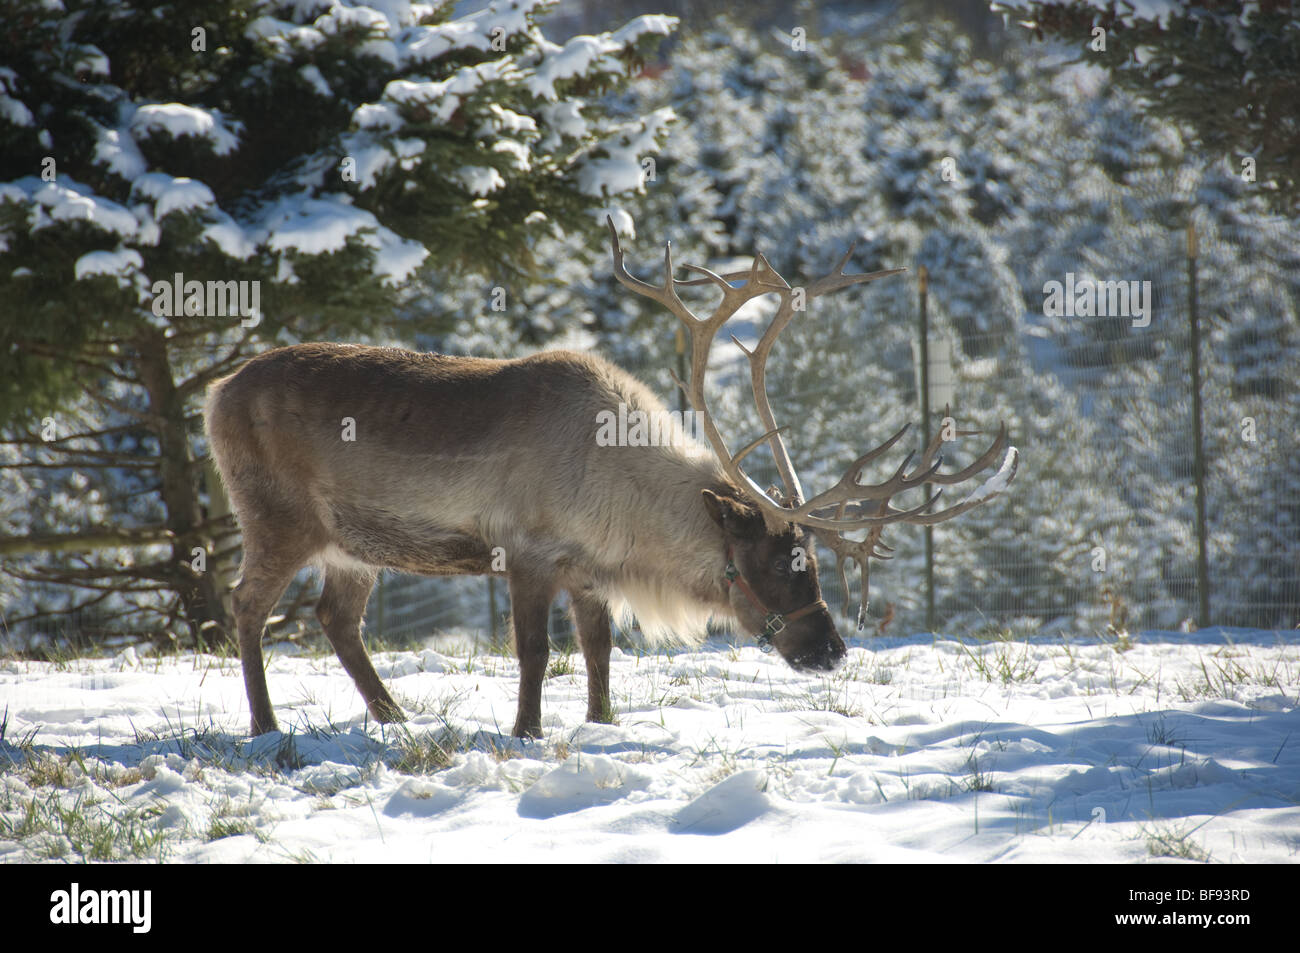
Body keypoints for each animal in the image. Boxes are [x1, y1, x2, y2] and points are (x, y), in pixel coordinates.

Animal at [203, 219, 1018, 739]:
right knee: (246, 604)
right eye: (779, 563)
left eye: (811, 562)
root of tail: (213, 392)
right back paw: (267, 727)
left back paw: (396, 717)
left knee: (335, 619)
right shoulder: (528, 552)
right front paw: (526, 732)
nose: (830, 651)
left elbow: (598, 654)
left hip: (354, 544)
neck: (626, 511)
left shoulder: (590, 571)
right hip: (275, 517)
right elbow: (536, 654)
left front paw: (601, 722)